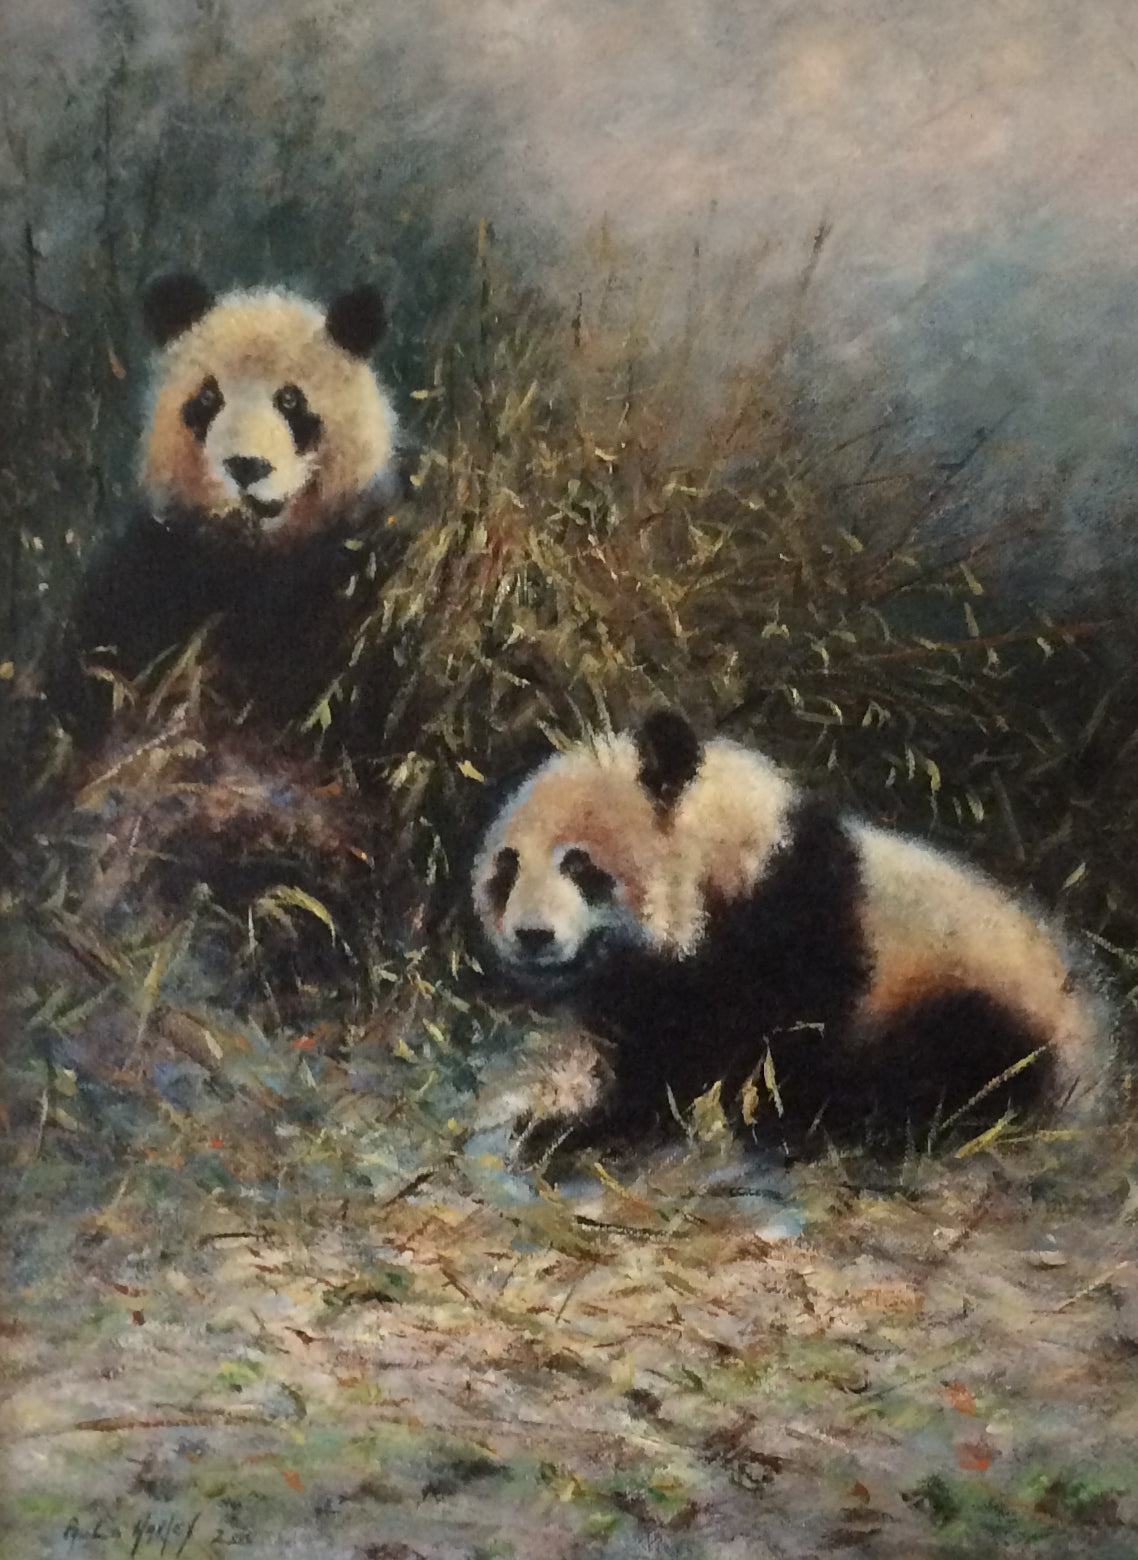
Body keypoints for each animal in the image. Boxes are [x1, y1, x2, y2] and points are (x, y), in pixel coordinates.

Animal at [48, 273, 402, 746]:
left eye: (290, 401)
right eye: (208, 398)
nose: (246, 466)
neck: (252, 548)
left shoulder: (358, 558)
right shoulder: (158, 555)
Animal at [472, 709, 1109, 1156]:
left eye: (580, 867)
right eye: (507, 871)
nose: (532, 935)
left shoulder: (792, 925)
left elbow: (746, 1049)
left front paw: (578, 1127)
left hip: (980, 1000)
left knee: (950, 1073)